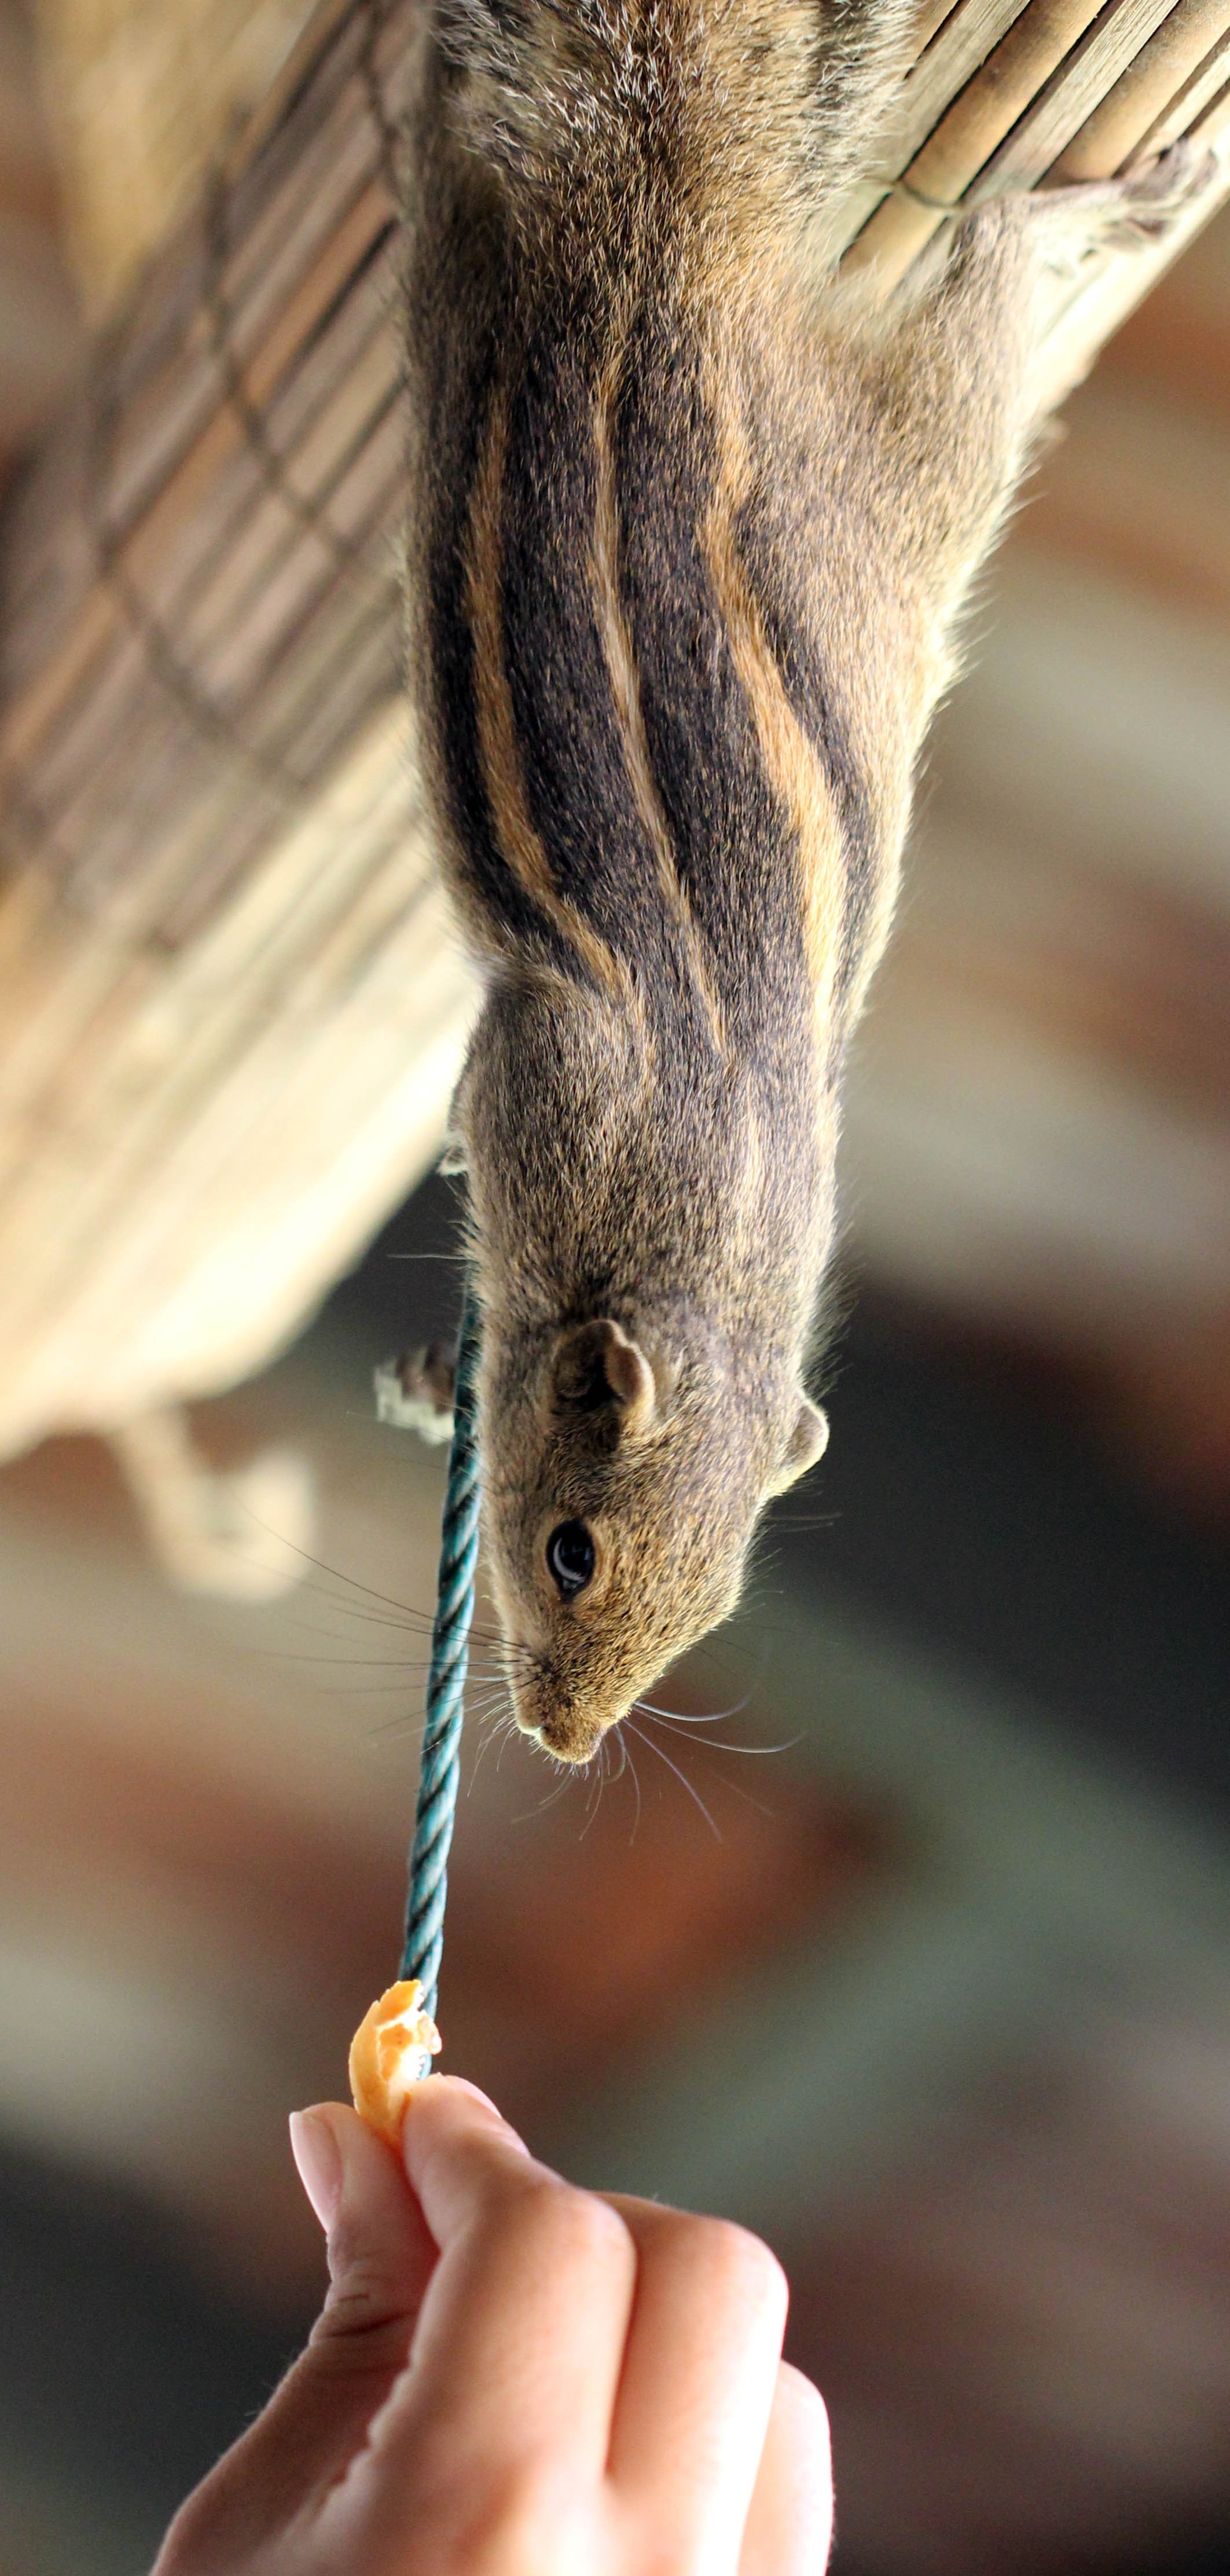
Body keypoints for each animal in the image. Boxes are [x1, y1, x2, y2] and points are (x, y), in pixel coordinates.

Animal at [398, 0, 1209, 1764]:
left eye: (711, 1610)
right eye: (570, 1551)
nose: (567, 1742)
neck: (706, 1237)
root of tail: (669, 245)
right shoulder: (551, 1073)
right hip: (875, 456)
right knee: (976, 302)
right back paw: (1093, 211)